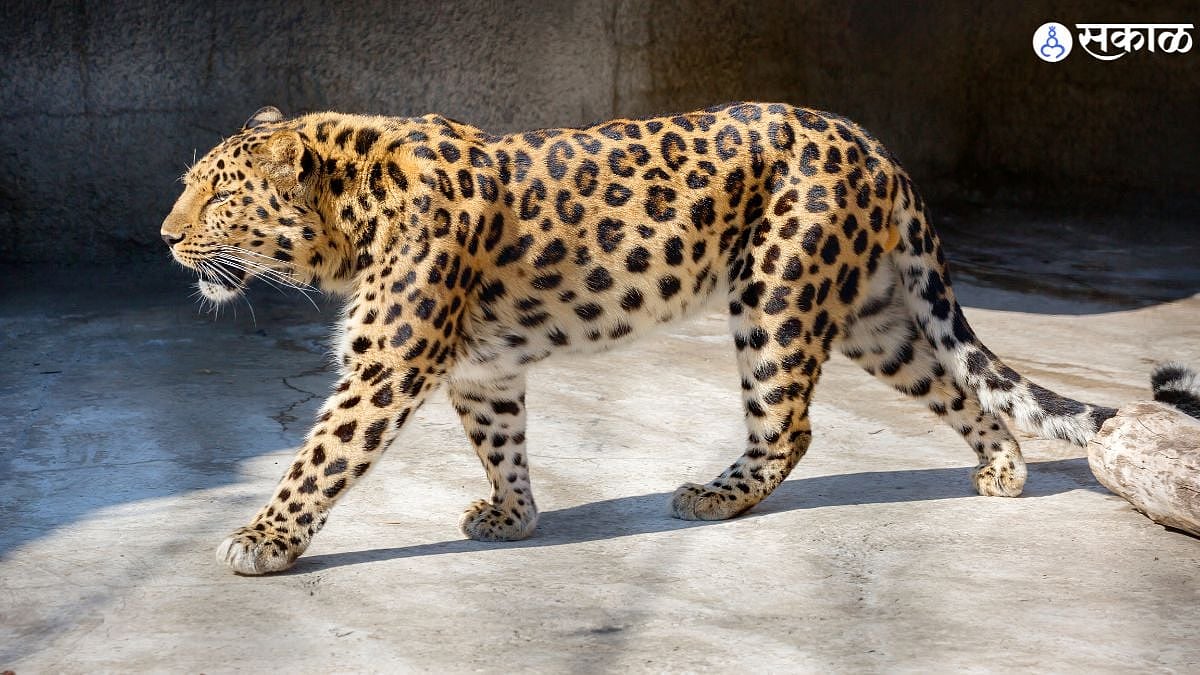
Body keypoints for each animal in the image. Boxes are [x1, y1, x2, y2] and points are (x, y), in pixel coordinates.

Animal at [162, 103, 1200, 575]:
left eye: (215, 195)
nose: (167, 236)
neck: (347, 217)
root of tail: (872, 143)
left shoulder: (387, 365)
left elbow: (320, 456)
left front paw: (262, 538)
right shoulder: (483, 368)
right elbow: (504, 440)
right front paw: (514, 515)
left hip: (777, 295)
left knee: (791, 426)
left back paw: (713, 496)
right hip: (874, 317)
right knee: (952, 382)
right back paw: (1000, 469)